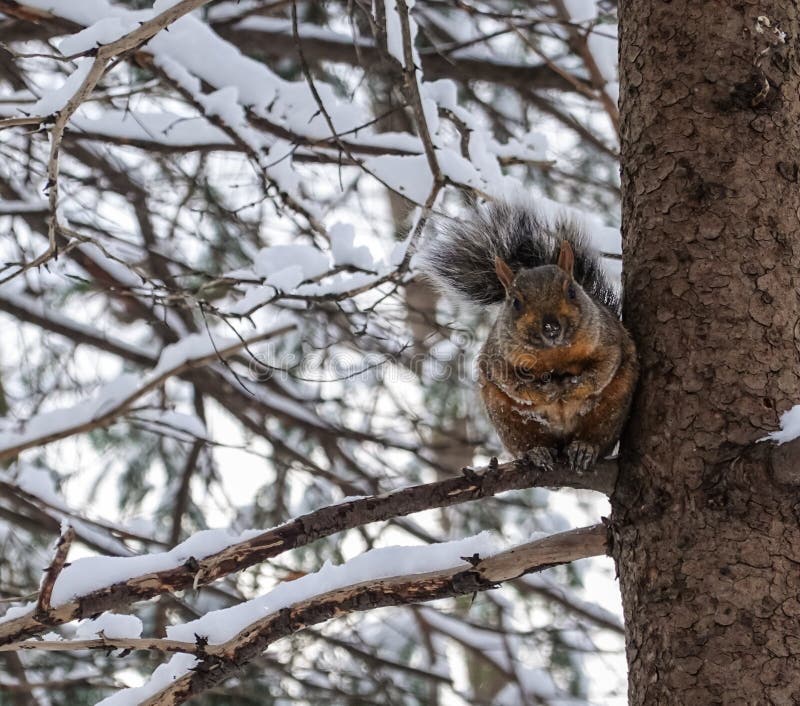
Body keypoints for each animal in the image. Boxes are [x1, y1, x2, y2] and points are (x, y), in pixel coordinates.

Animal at [418, 200, 638, 473]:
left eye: (572, 291)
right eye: (515, 302)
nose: (551, 327)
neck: (555, 355)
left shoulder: (609, 340)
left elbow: (602, 370)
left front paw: (573, 387)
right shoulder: (497, 357)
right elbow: (512, 383)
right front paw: (547, 392)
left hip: (610, 414)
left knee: (595, 436)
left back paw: (584, 448)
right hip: (510, 424)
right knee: (528, 442)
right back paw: (538, 453)